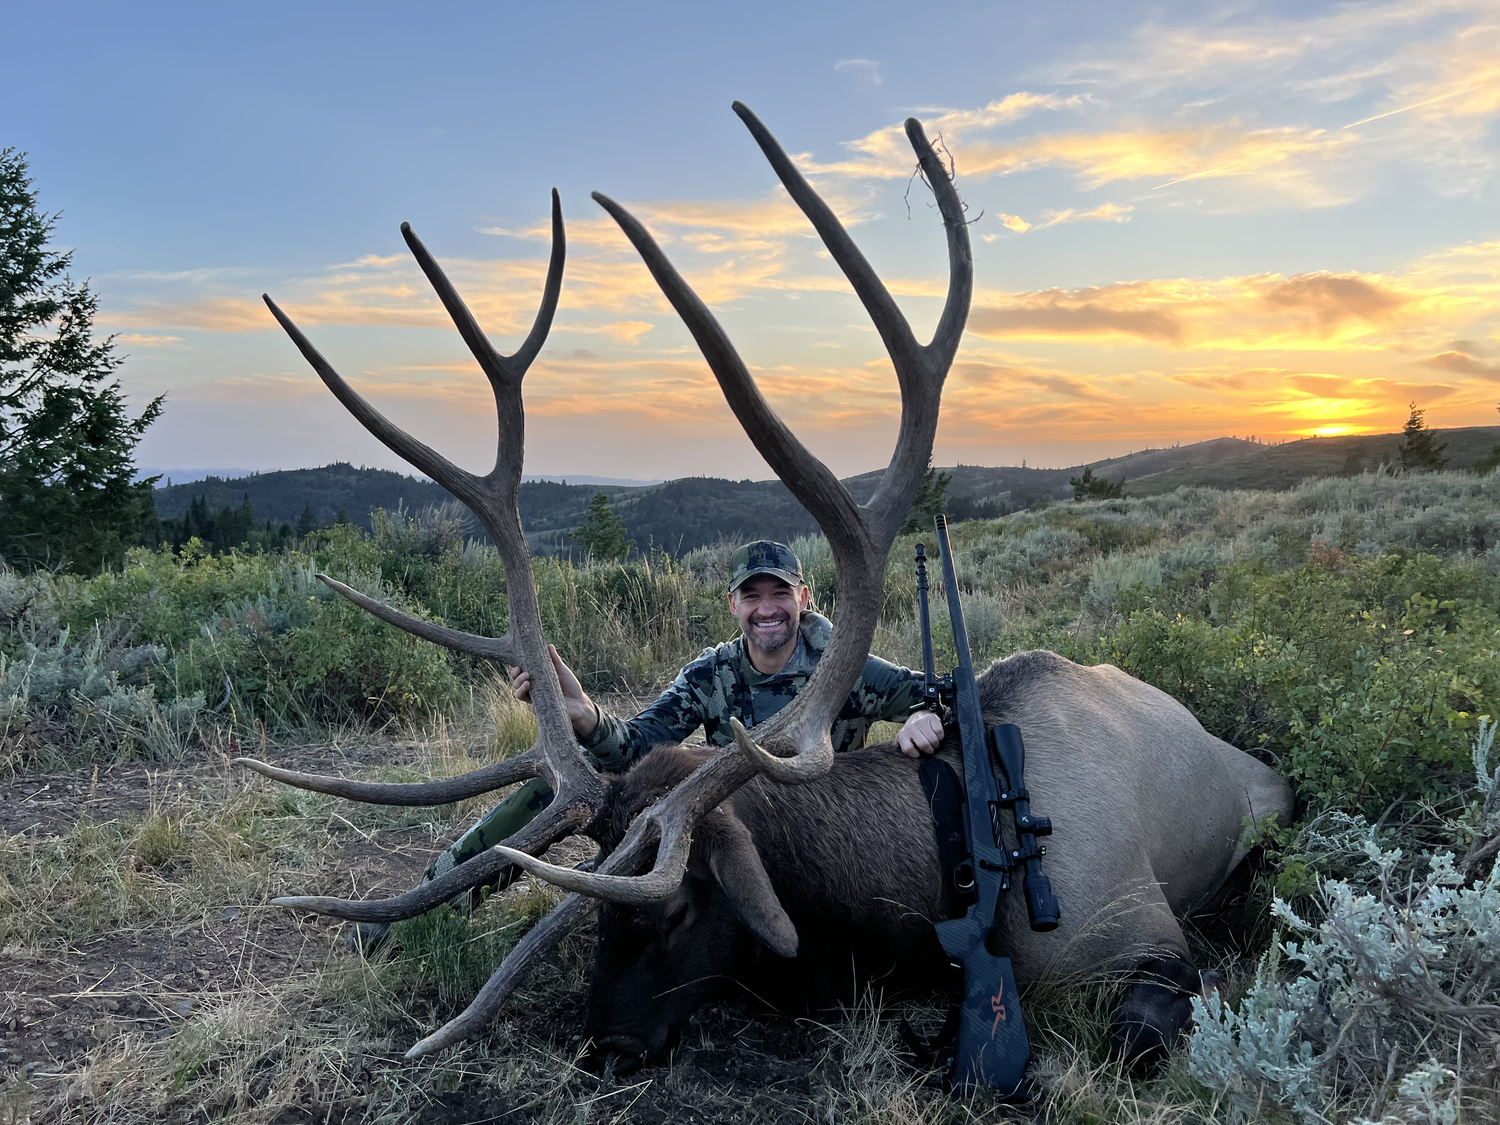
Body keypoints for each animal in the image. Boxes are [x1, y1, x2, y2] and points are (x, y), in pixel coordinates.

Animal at [236, 102, 1293, 1078]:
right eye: (592, 879)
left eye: (678, 904)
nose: (606, 1044)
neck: (941, 872)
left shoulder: (1146, 935)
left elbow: (1132, 1034)